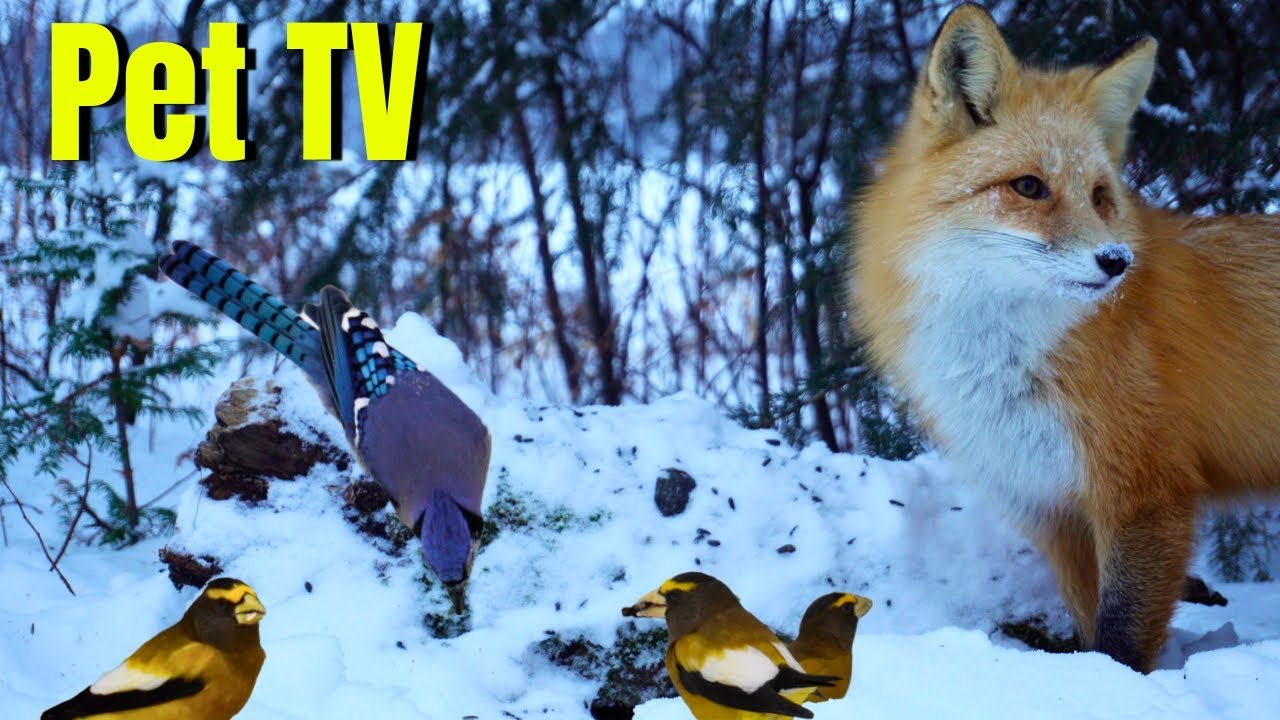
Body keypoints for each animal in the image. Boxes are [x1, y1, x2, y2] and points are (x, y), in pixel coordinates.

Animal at [850, 3, 1280, 672]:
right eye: (1028, 187)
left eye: (1100, 196)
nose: (1116, 261)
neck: (1008, 361)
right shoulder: (1052, 505)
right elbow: (1089, 619)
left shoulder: (1144, 492)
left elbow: (1120, 638)